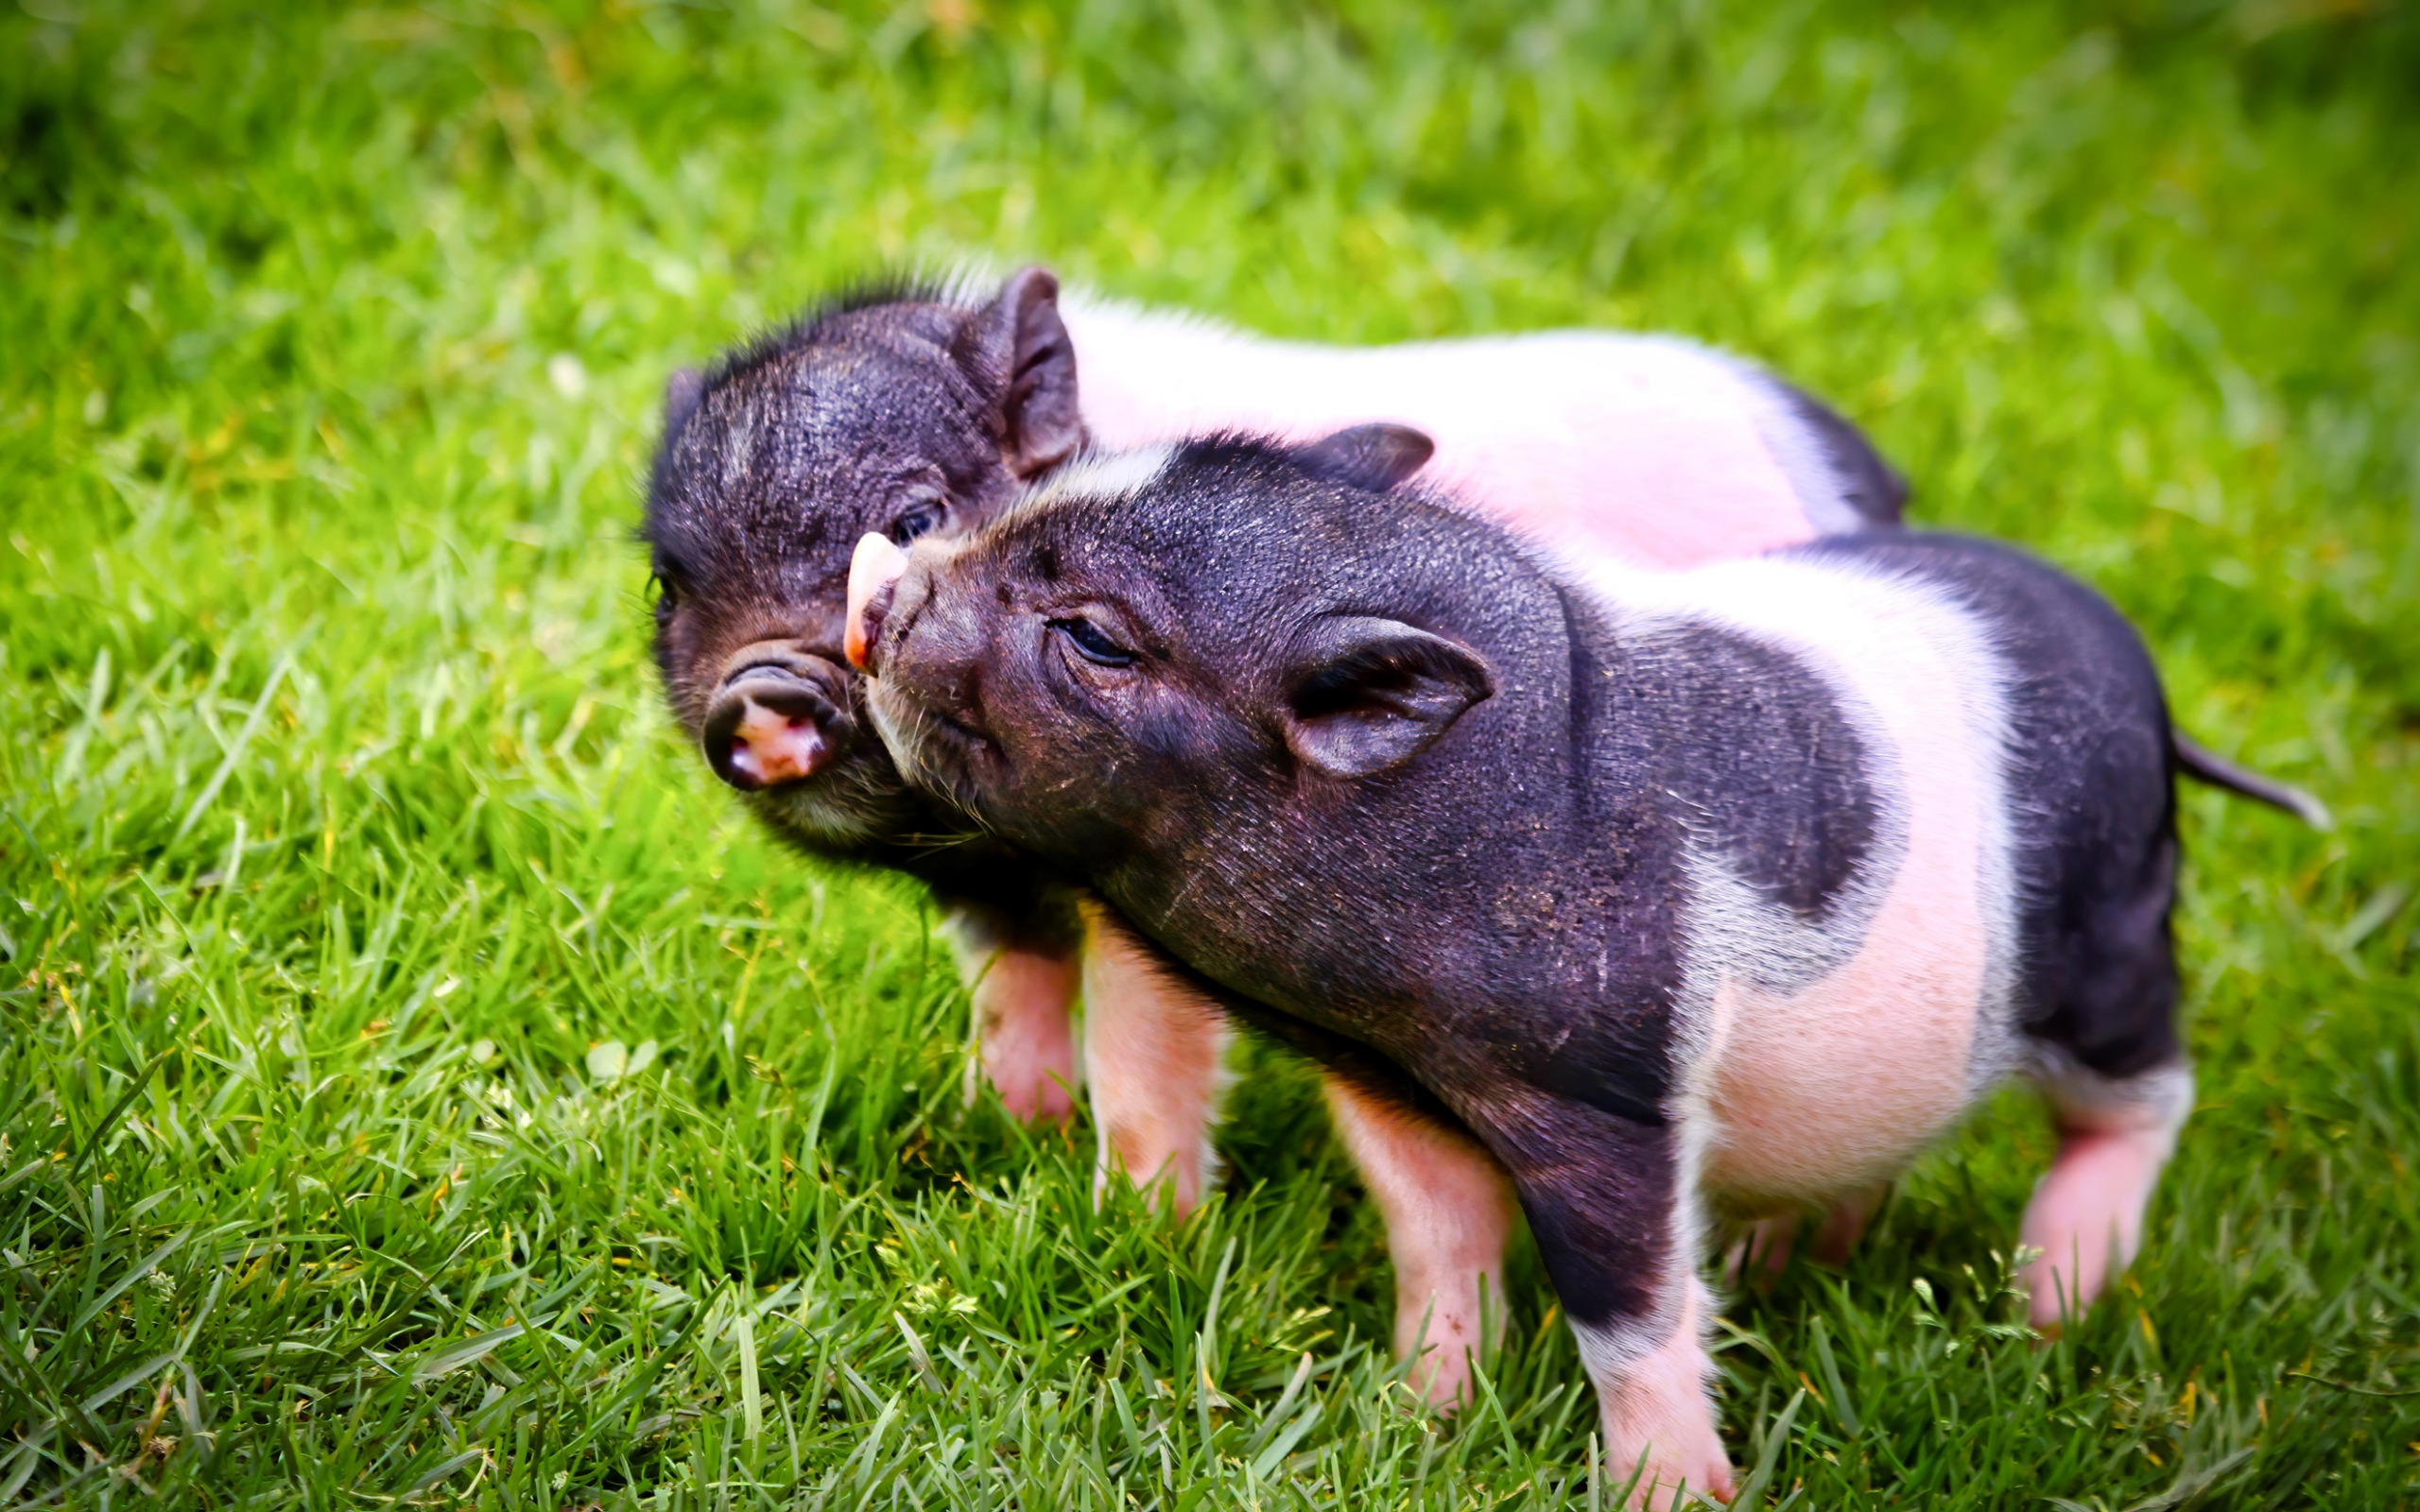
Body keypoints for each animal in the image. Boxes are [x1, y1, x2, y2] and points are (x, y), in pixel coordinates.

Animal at [642, 268, 1914, 1403]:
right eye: (669, 586)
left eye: (911, 516)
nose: (758, 690)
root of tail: (1861, 472)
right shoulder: (993, 894)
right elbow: (1014, 1000)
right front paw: (995, 1134)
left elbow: (1140, 1066)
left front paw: (1133, 1232)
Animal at [847, 427, 2317, 1504]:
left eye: (1096, 636)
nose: (880, 573)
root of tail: (2150, 688)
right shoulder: (1390, 1082)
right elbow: (1436, 1241)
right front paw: (1415, 1421)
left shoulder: (1613, 1090)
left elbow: (1631, 1311)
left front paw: (1670, 1496)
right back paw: (1790, 1261)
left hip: (2113, 946)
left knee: (2148, 1098)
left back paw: (2049, 1306)